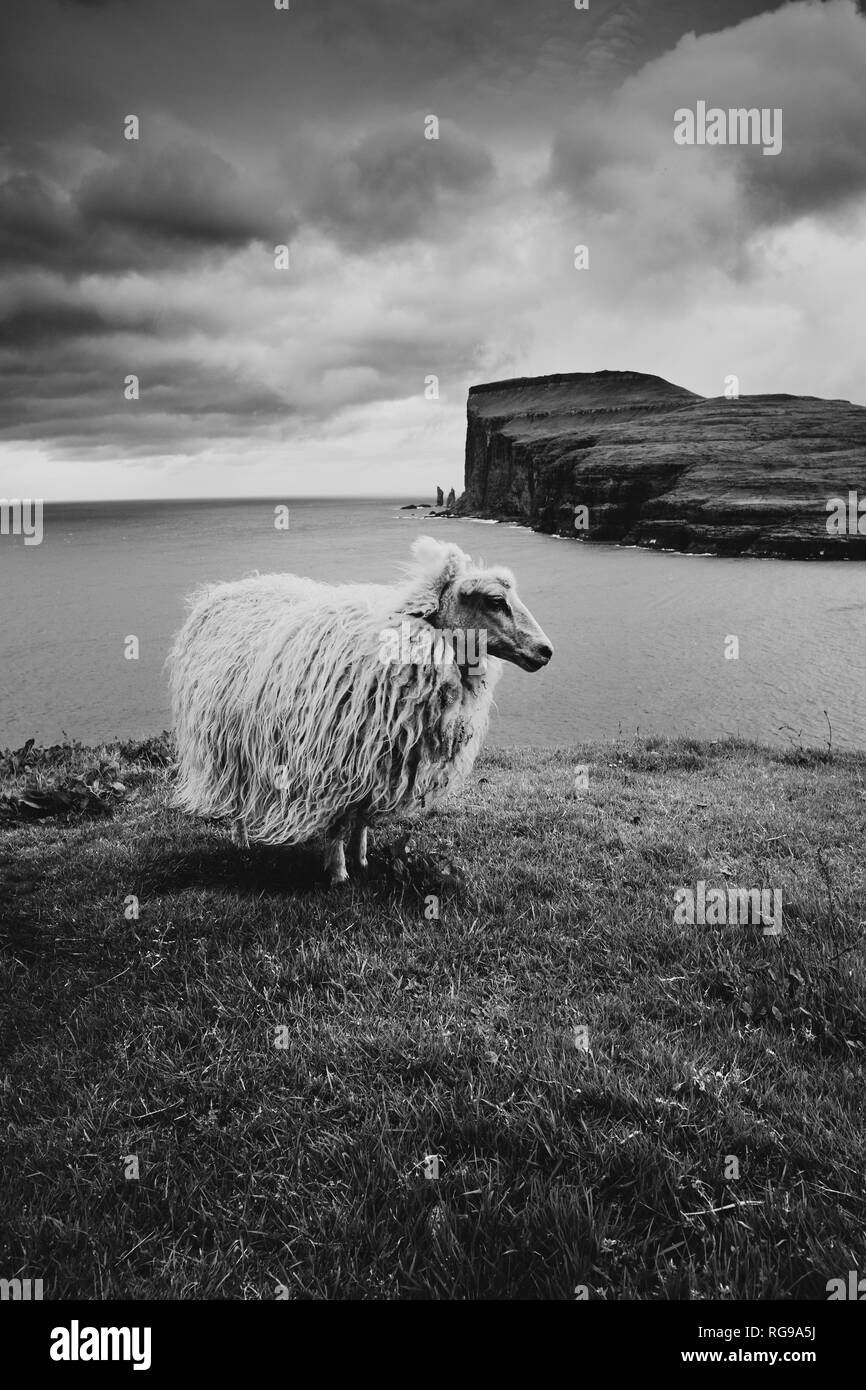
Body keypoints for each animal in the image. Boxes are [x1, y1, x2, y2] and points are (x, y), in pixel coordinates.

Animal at [167, 535, 553, 884]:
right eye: (495, 600)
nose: (546, 651)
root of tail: (225, 590)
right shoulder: (337, 760)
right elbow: (338, 823)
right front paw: (339, 873)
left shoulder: (381, 757)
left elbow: (363, 817)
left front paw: (362, 858)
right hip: (225, 741)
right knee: (237, 795)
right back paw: (241, 841)